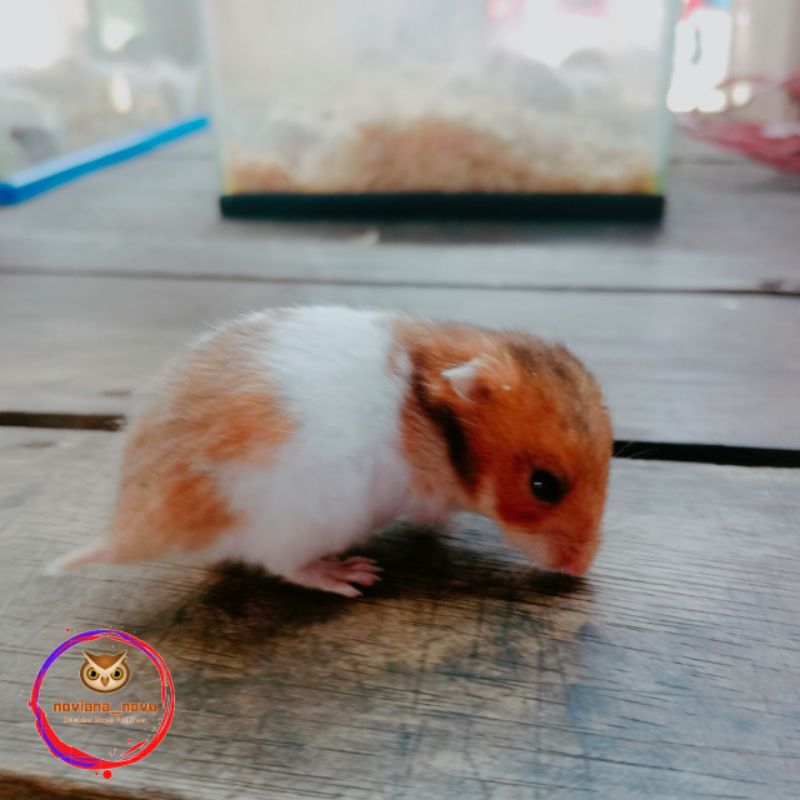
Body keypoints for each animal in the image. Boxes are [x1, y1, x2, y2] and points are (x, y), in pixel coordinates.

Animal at [57, 306, 612, 597]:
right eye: (542, 485)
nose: (582, 570)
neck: (434, 420)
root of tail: (128, 527)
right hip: (300, 525)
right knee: (285, 566)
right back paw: (353, 575)